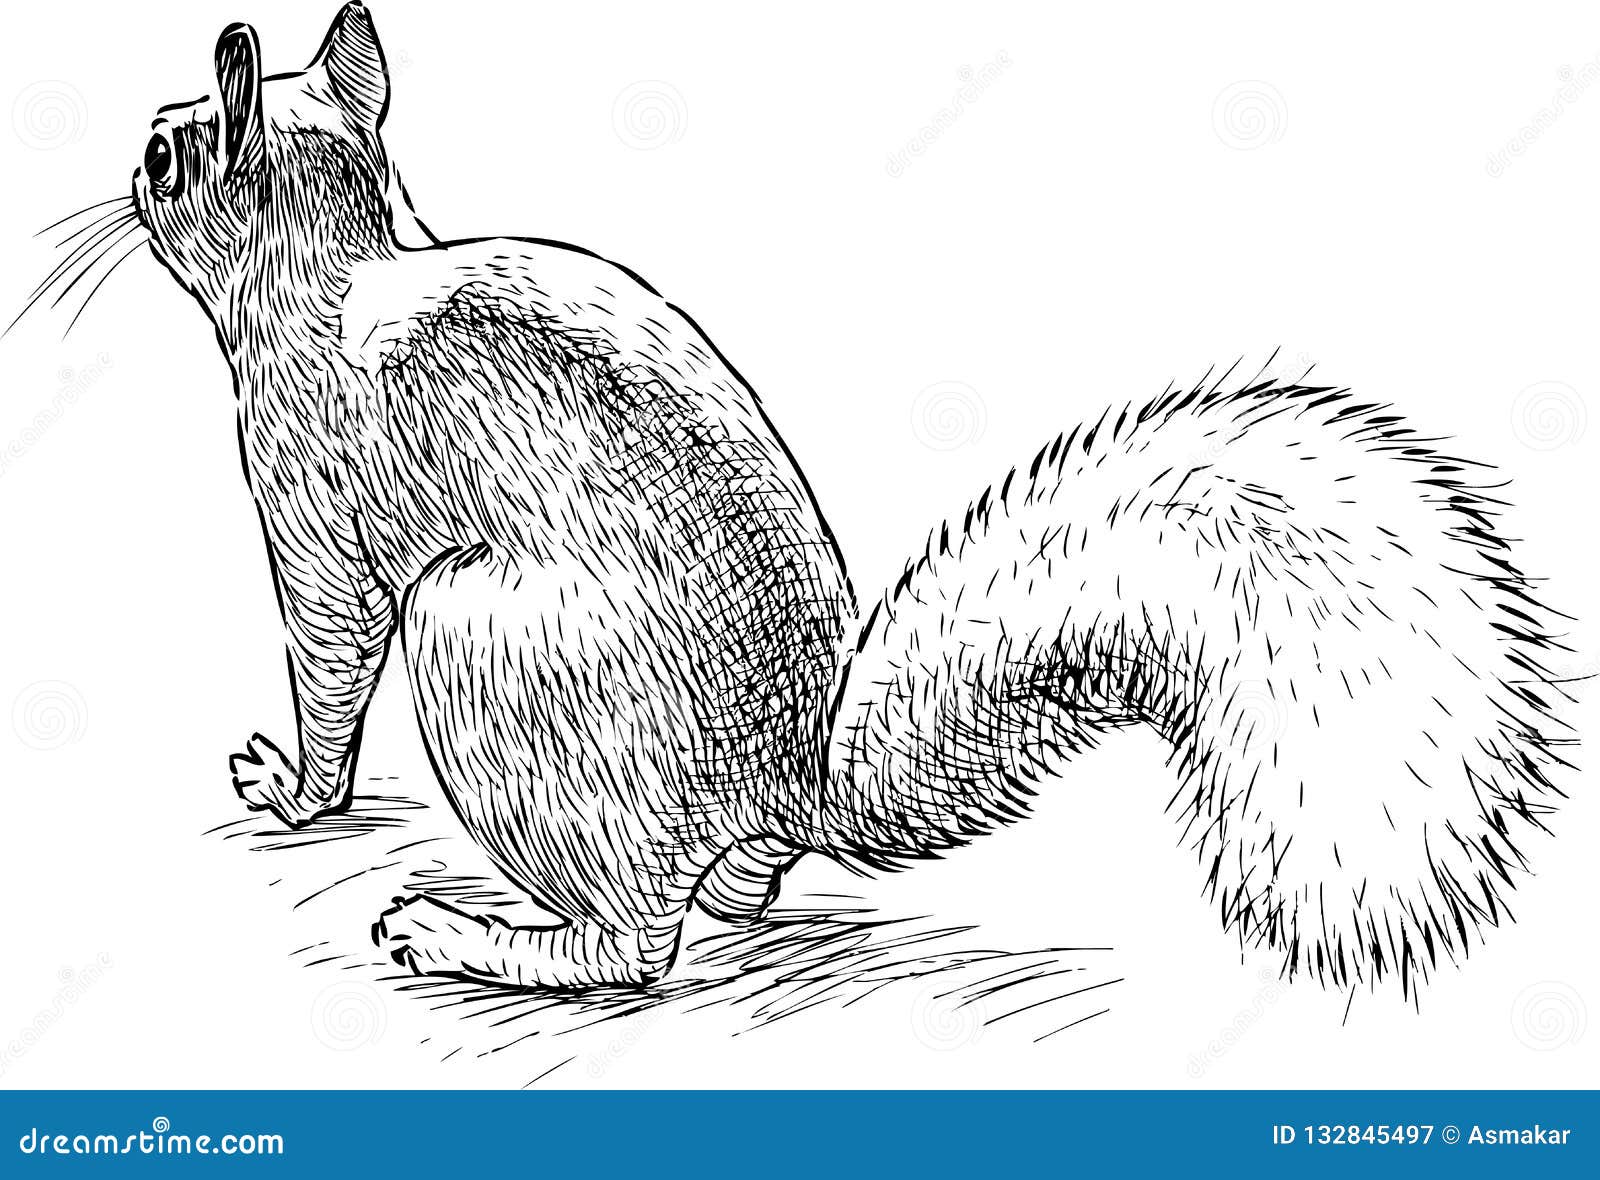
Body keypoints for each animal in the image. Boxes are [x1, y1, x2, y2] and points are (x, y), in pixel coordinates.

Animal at [130, 4, 1573, 995]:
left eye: (164, 155)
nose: (125, 170)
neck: (334, 274)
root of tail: (784, 783)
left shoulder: (314, 497)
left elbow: (329, 657)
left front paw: (291, 787)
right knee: (728, 899)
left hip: (490, 651)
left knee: (634, 946)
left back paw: (460, 930)